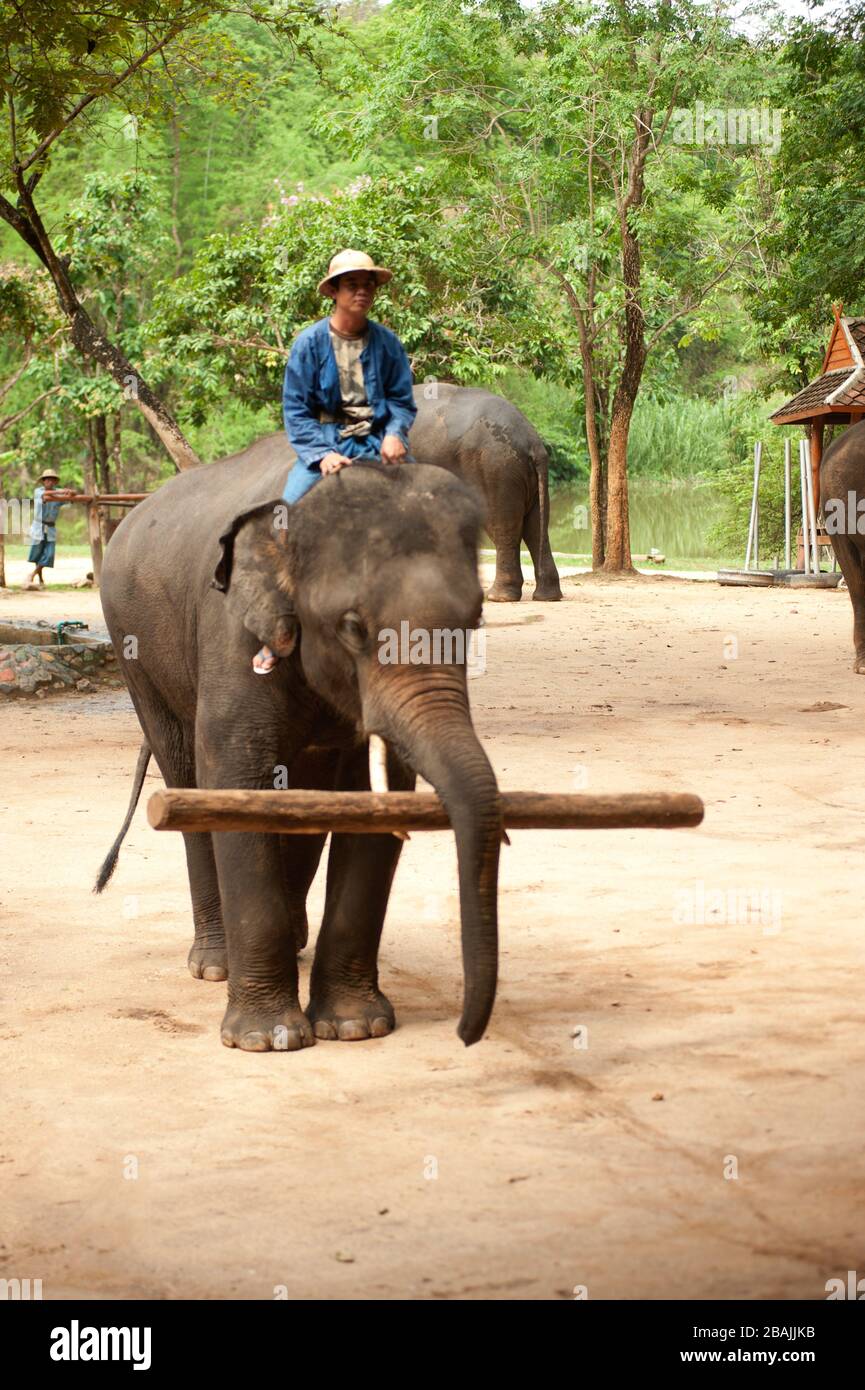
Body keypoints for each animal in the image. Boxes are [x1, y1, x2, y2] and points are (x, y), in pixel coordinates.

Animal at [96, 452, 503, 1054]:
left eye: (474, 621)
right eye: (353, 627)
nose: (465, 1033)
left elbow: (373, 799)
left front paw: (356, 1027)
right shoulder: (234, 640)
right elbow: (235, 783)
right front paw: (267, 1038)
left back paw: (292, 944)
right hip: (134, 651)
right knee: (186, 781)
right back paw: (214, 964)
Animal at [409, 383, 563, 603]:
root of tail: (533, 443)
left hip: (496, 469)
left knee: (503, 525)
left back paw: (497, 597)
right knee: (535, 527)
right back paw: (546, 596)